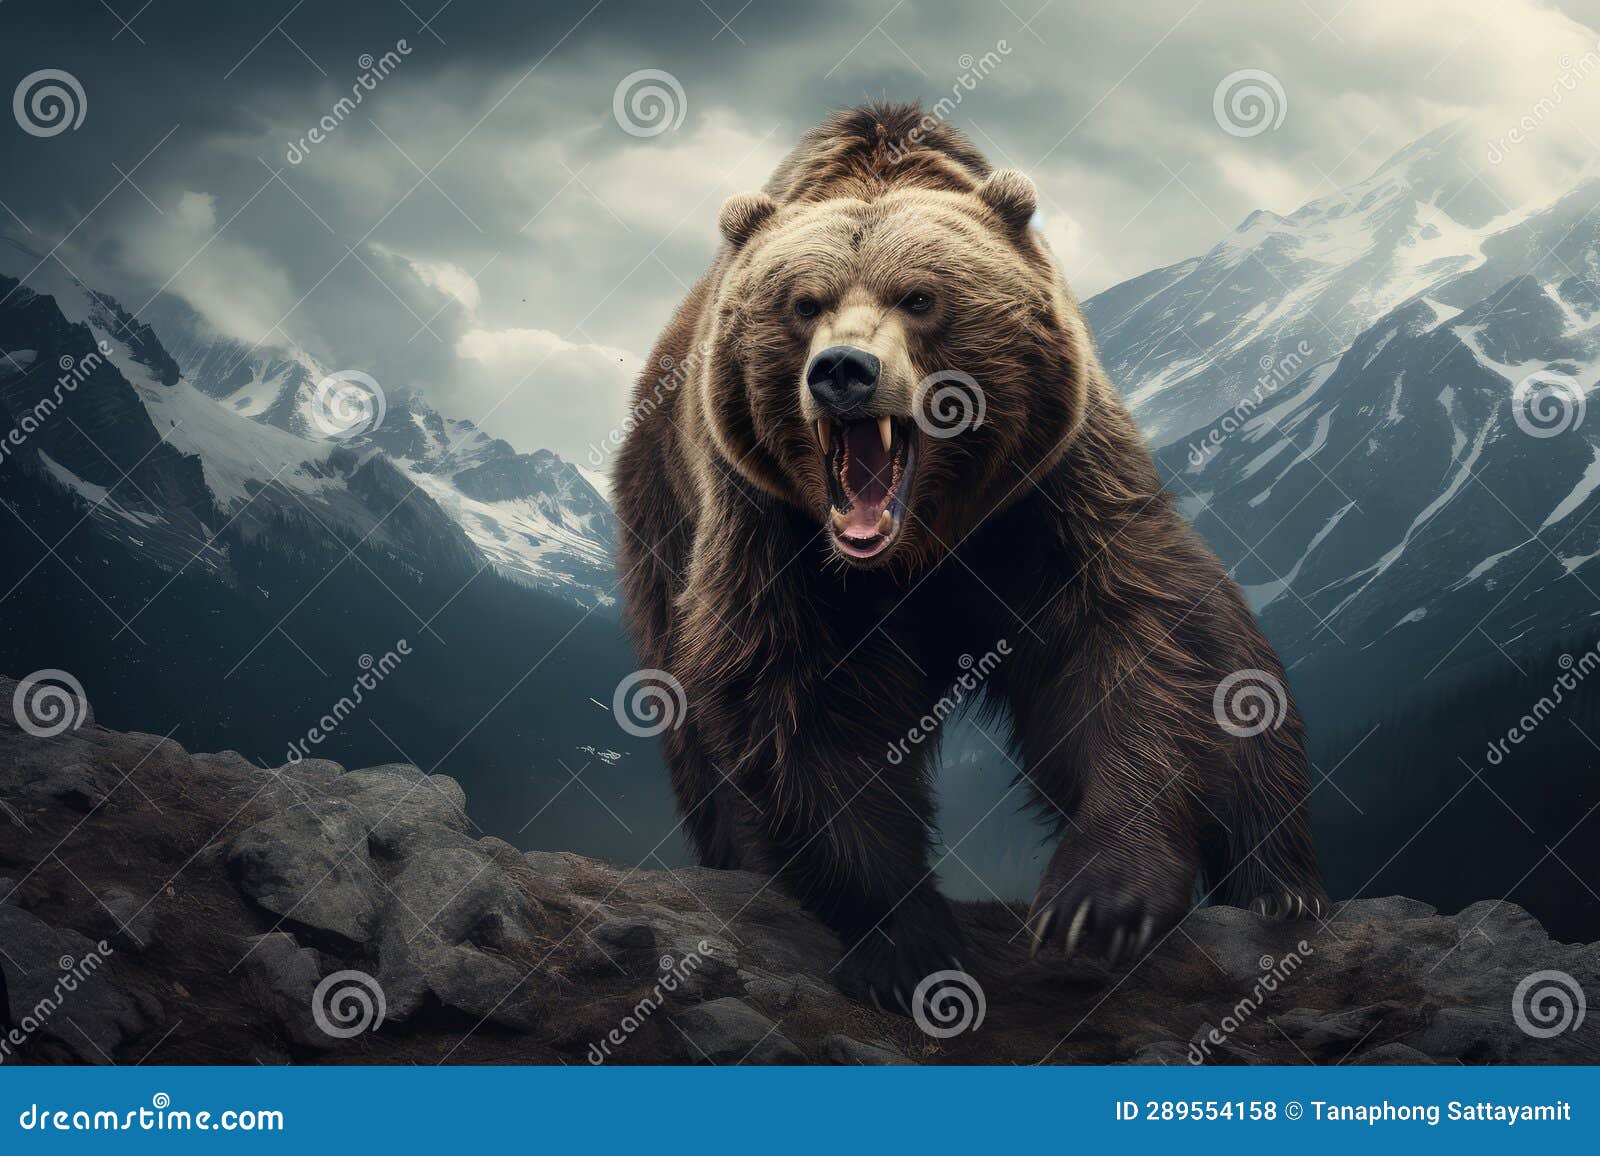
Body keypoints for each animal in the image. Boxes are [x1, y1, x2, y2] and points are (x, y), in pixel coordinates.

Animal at [613, 102, 1326, 1014]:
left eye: (919, 297)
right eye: (804, 303)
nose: (842, 370)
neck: (922, 541)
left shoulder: (1049, 495)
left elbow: (1122, 652)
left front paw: (1097, 902)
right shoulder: (776, 534)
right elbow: (795, 701)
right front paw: (909, 943)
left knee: (1240, 682)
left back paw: (1281, 887)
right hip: (658, 535)